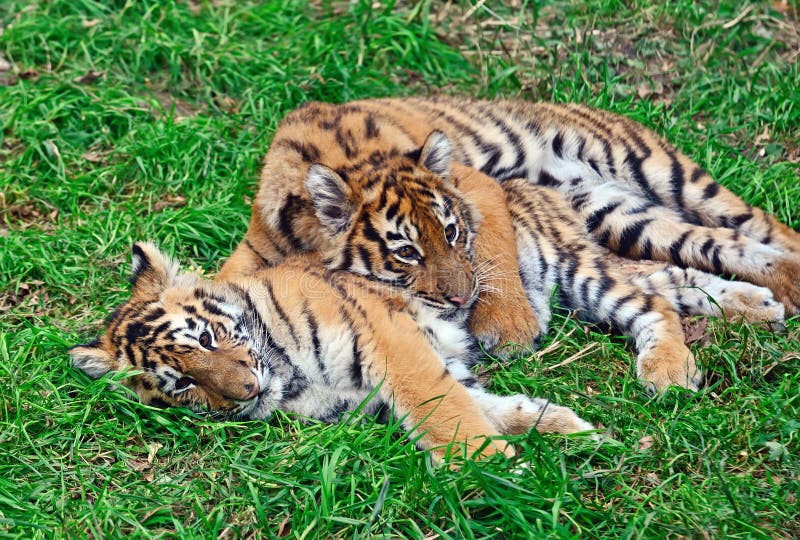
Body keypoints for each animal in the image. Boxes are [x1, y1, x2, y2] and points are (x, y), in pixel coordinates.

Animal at [69, 242, 597, 463]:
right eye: (182, 384)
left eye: (205, 339)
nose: (247, 390)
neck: (289, 373)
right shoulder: (368, 400)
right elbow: (477, 404)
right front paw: (567, 428)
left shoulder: (394, 342)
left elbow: (444, 411)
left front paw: (489, 474)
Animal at [217, 97, 796, 390]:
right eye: (406, 252)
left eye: (452, 233)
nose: (458, 299)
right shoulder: (258, 246)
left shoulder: (477, 185)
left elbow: (493, 253)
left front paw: (509, 324)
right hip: (619, 216)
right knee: (702, 252)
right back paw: (759, 303)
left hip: (659, 171)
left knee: (762, 227)